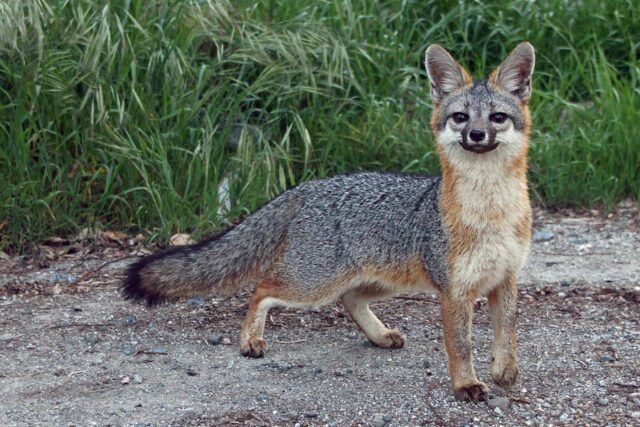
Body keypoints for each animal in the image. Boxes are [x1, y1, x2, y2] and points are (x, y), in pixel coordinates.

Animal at [122, 42, 535, 402]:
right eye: (461, 117)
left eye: (497, 117)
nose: (477, 134)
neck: (491, 212)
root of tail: (310, 185)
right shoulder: (454, 292)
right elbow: (461, 346)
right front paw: (466, 385)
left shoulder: (506, 279)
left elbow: (508, 334)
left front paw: (504, 371)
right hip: (313, 283)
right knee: (262, 288)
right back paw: (249, 340)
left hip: (379, 281)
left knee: (349, 299)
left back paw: (379, 336)